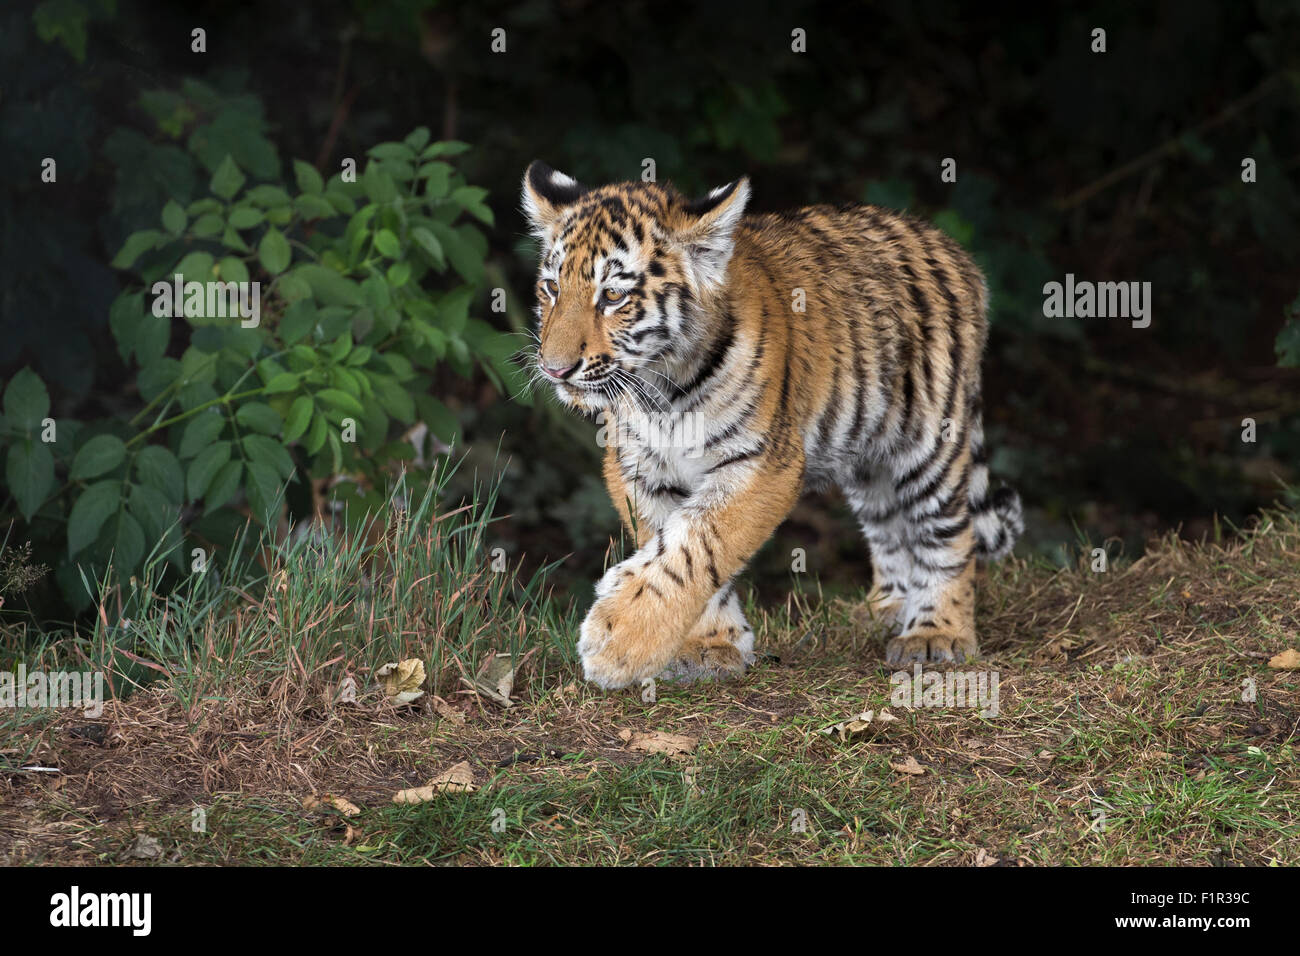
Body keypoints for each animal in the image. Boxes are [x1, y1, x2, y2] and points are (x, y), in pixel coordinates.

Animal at [521, 161, 1023, 690]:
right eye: (552, 288)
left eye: (613, 295)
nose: (555, 369)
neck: (662, 386)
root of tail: (945, 243)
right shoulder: (640, 467)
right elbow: (670, 542)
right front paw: (708, 646)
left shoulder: (763, 463)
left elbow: (696, 546)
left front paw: (619, 640)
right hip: (868, 459)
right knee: (889, 529)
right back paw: (886, 611)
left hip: (930, 442)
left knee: (947, 535)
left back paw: (935, 632)